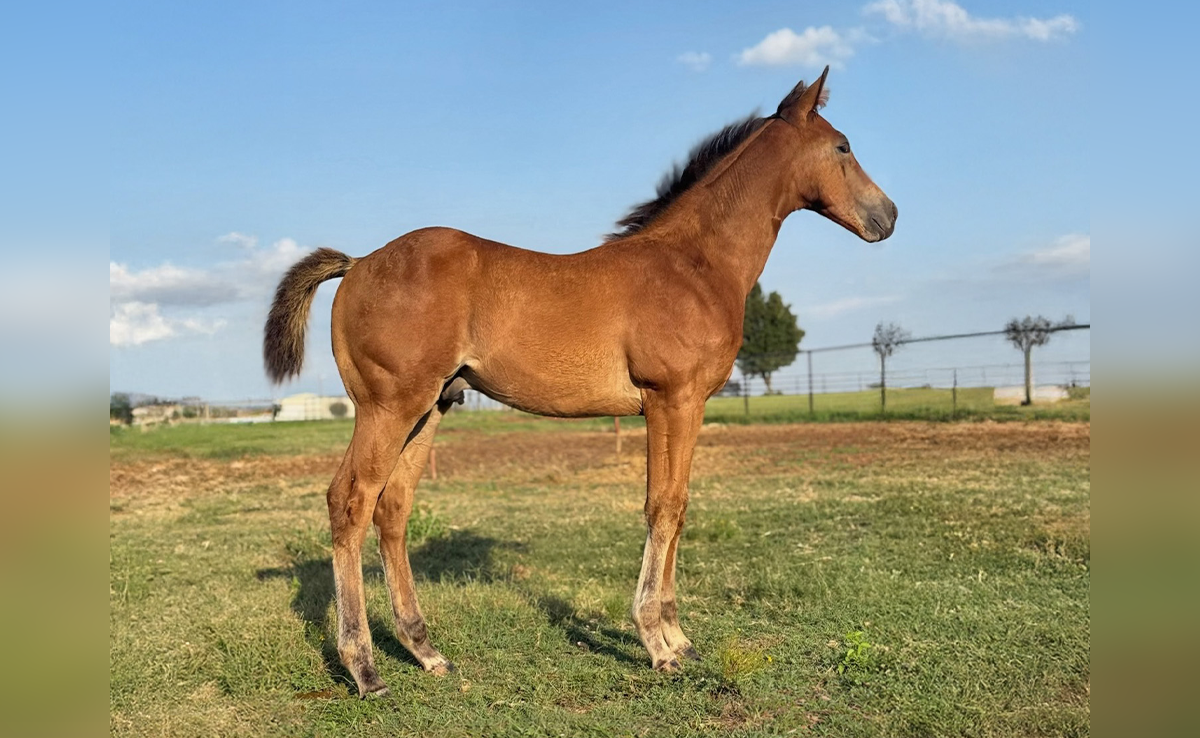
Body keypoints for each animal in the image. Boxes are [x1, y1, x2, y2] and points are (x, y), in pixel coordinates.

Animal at [264, 66, 896, 697]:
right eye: (842, 146)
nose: (888, 216)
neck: (692, 264)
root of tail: (359, 263)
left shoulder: (687, 405)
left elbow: (679, 506)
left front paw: (680, 639)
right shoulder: (672, 400)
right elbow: (663, 506)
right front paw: (659, 644)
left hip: (430, 408)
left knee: (392, 508)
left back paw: (425, 650)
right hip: (388, 405)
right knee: (350, 501)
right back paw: (364, 666)